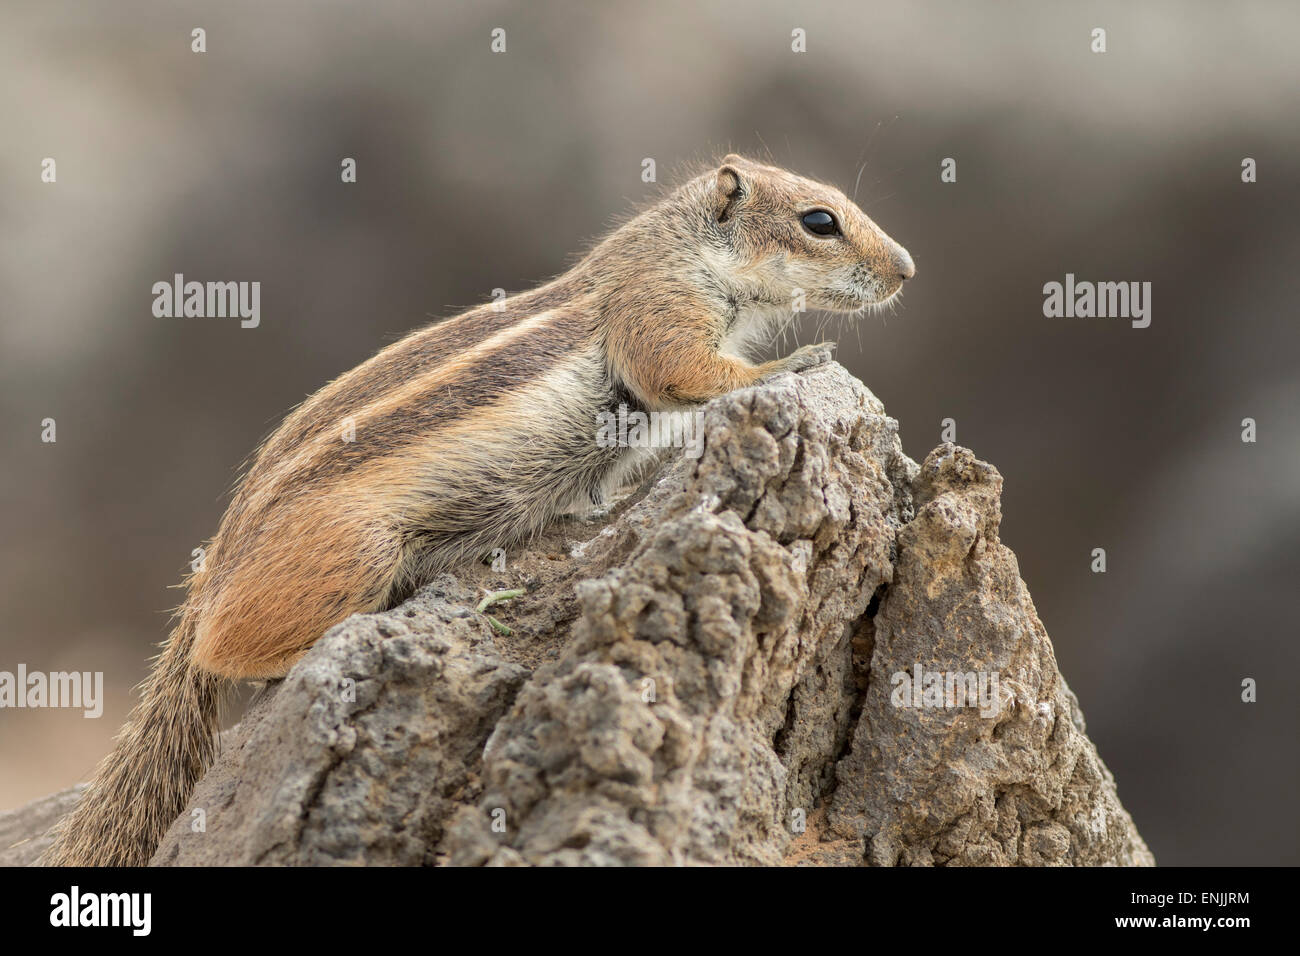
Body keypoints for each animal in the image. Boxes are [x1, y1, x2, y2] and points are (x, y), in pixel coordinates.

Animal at [43, 154, 913, 866]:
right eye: (820, 221)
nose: (906, 268)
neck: (681, 246)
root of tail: (209, 573)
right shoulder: (658, 310)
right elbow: (689, 373)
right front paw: (793, 361)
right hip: (353, 553)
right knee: (226, 650)